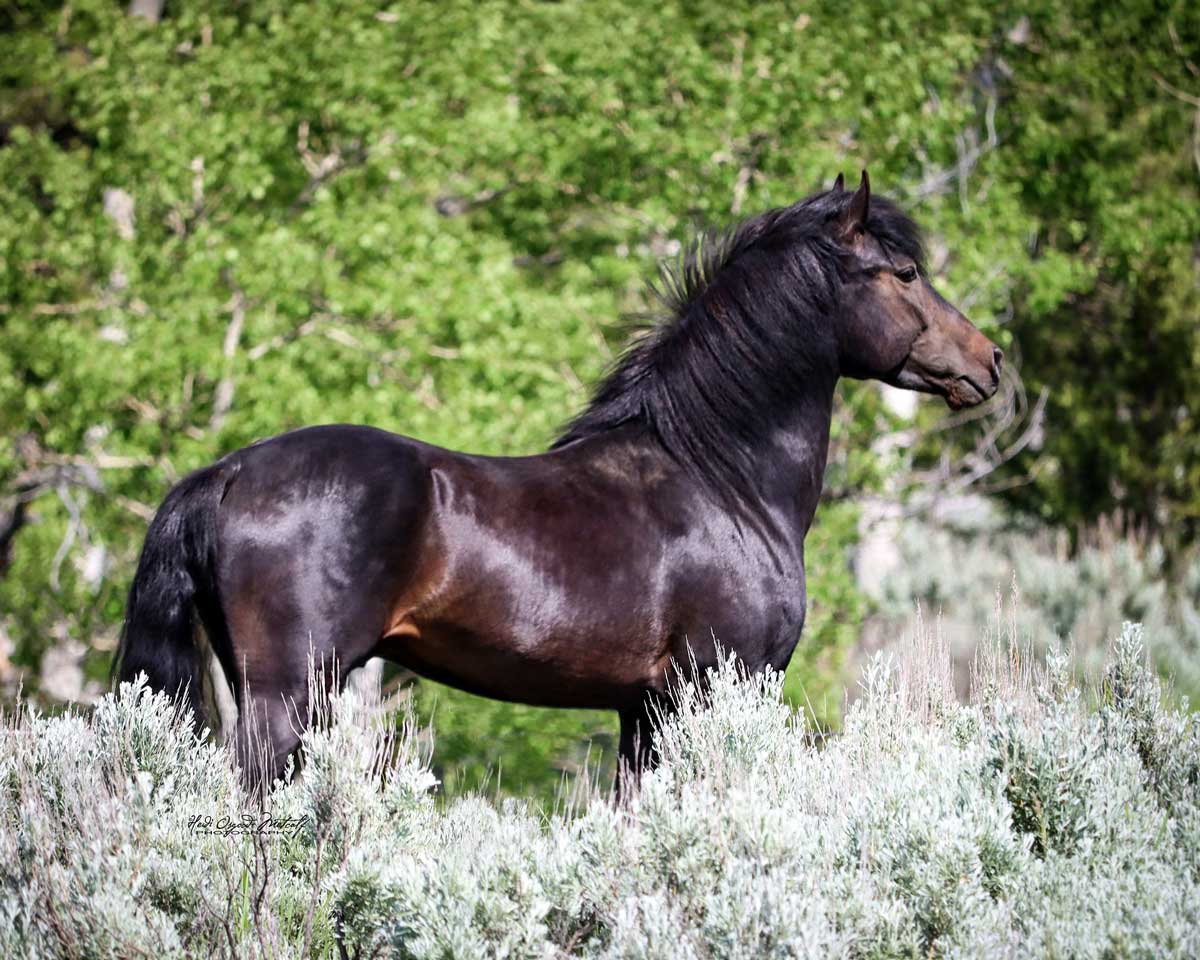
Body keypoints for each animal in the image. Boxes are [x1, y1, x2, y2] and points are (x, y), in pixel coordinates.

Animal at [114, 172, 1002, 789]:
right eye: (905, 273)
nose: (988, 361)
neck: (722, 480)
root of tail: (227, 472)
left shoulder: (644, 709)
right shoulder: (717, 688)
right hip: (288, 696)